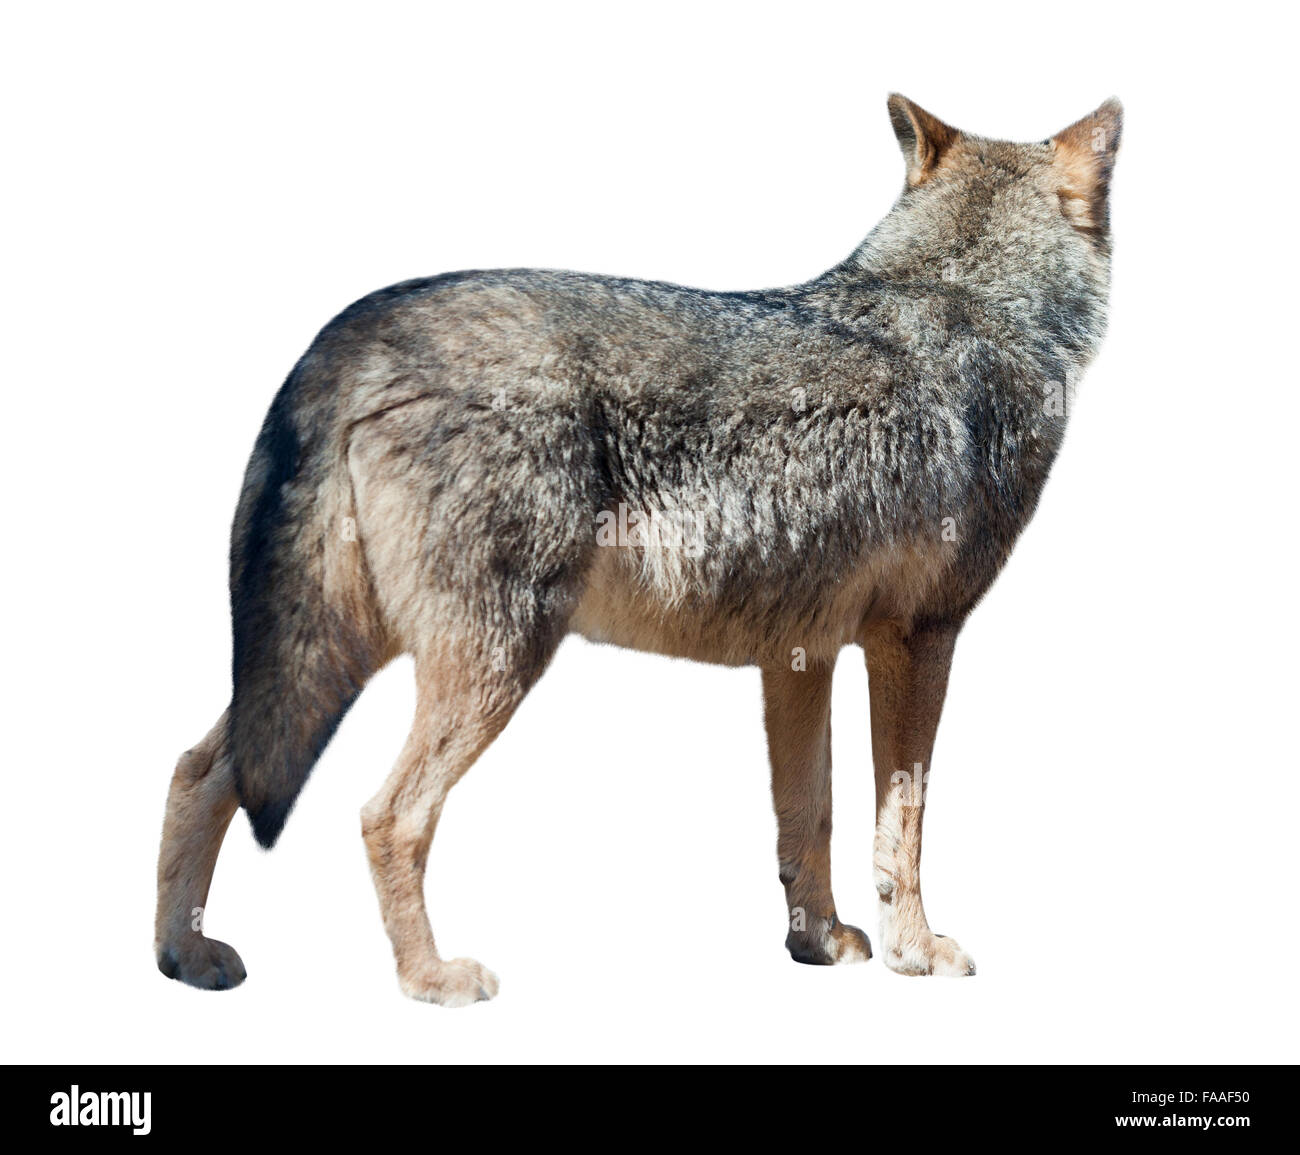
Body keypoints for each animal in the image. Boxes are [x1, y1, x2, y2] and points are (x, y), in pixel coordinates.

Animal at [155, 95, 1121, 1004]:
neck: (966, 298)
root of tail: (353, 330)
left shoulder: (798, 658)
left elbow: (807, 816)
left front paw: (816, 943)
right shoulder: (919, 639)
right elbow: (903, 821)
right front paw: (915, 952)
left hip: (335, 658)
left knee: (197, 768)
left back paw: (184, 956)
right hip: (489, 662)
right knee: (387, 814)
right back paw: (431, 978)